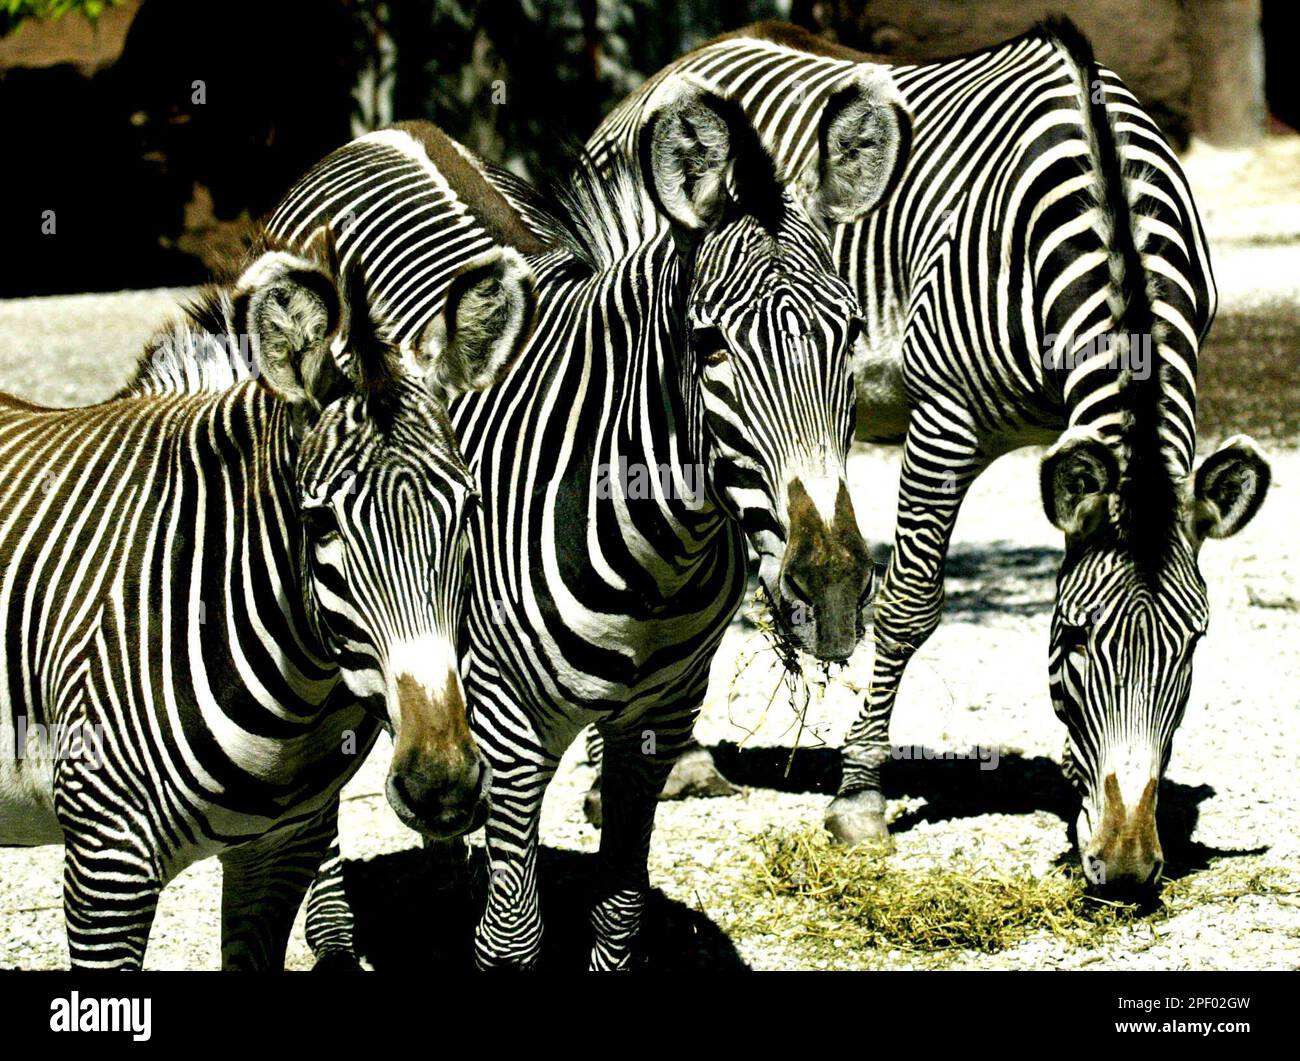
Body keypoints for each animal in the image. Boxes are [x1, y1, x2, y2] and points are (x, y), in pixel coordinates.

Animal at [270, 71, 908, 967]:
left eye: (848, 334)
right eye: (708, 344)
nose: (834, 591)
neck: (658, 558)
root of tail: (387, 131)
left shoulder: (658, 720)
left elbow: (619, 912)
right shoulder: (508, 729)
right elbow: (512, 934)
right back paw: (333, 934)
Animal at [586, 19, 1271, 887]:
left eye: (1193, 646)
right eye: (1074, 641)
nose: (1124, 868)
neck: (1104, 196)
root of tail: (682, 62)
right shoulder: (947, 418)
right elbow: (908, 605)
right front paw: (859, 796)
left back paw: (682, 757)